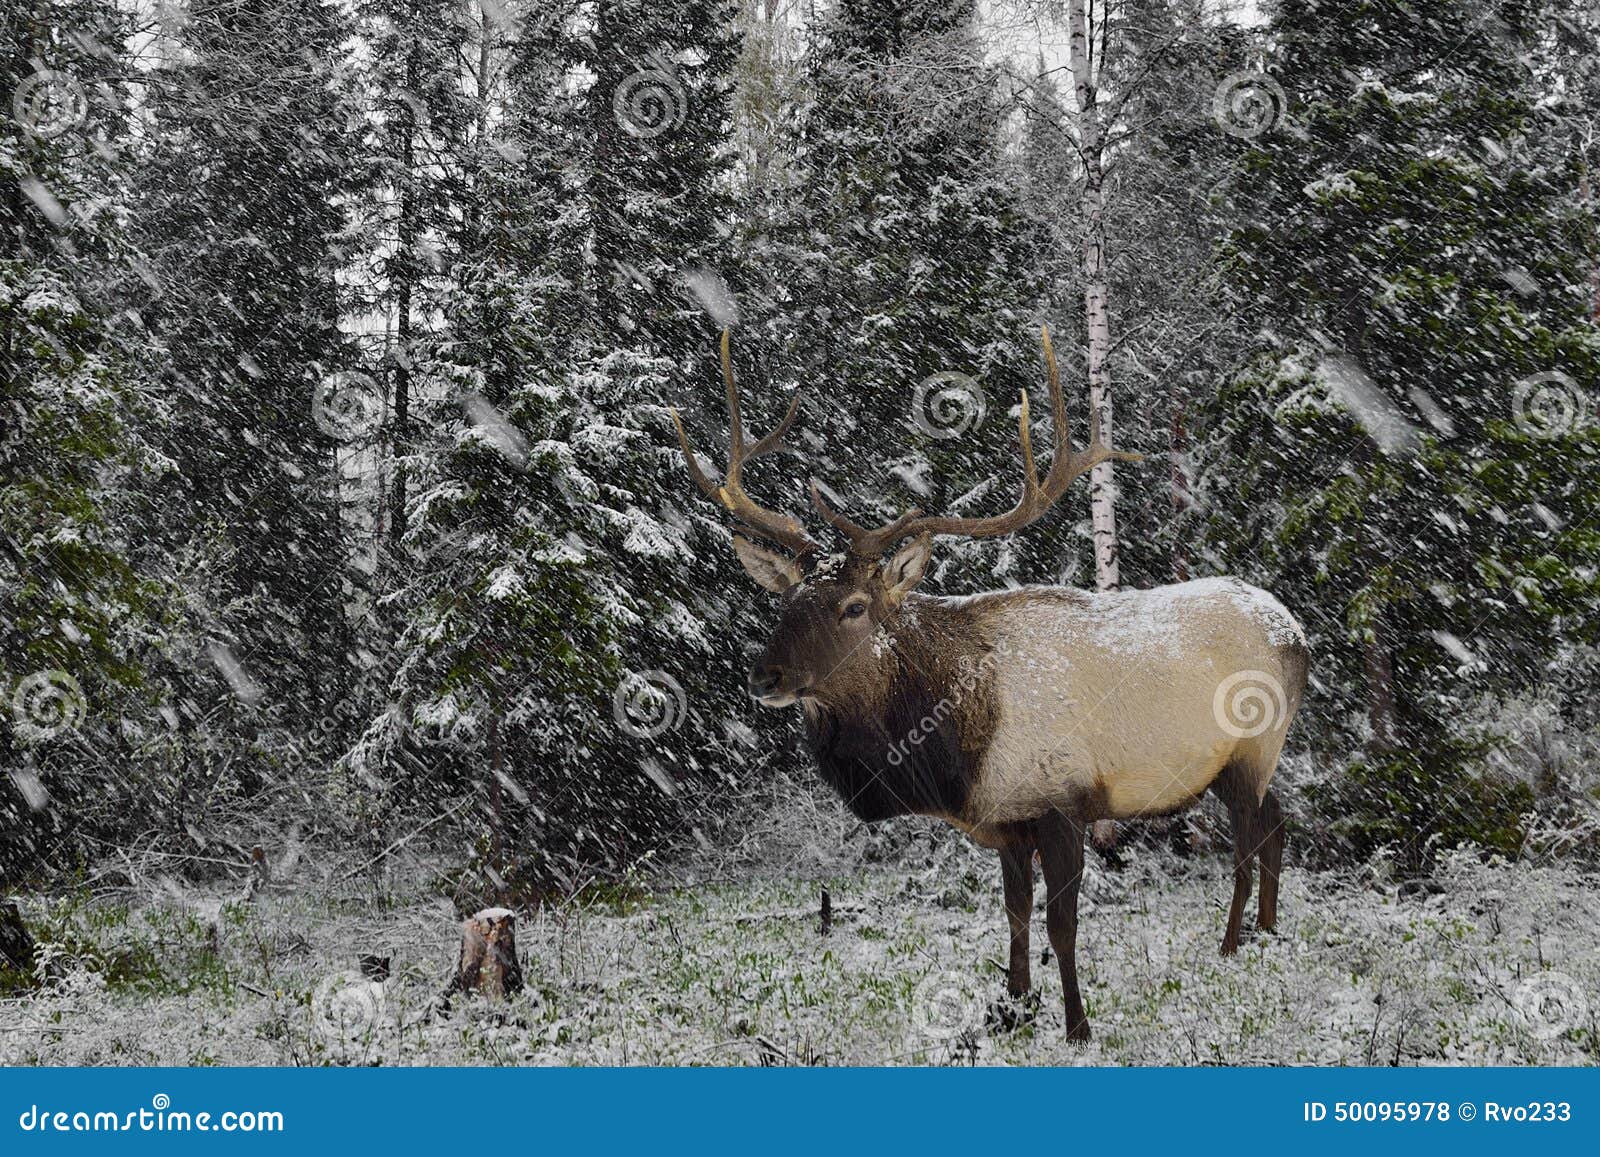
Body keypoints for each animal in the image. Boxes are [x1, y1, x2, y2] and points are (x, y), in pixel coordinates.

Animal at [670, 328, 1309, 1041]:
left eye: (855, 606)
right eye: (786, 600)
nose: (765, 675)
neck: (957, 749)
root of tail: (1295, 630)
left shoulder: (1063, 801)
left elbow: (1061, 925)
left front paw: (1077, 1026)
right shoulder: (1006, 822)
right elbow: (1015, 913)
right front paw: (1014, 1008)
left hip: (1252, 748)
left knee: (1250, 841)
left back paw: (1230, 945)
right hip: (1233, 763)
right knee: (1279, 822)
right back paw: (1266, 935)